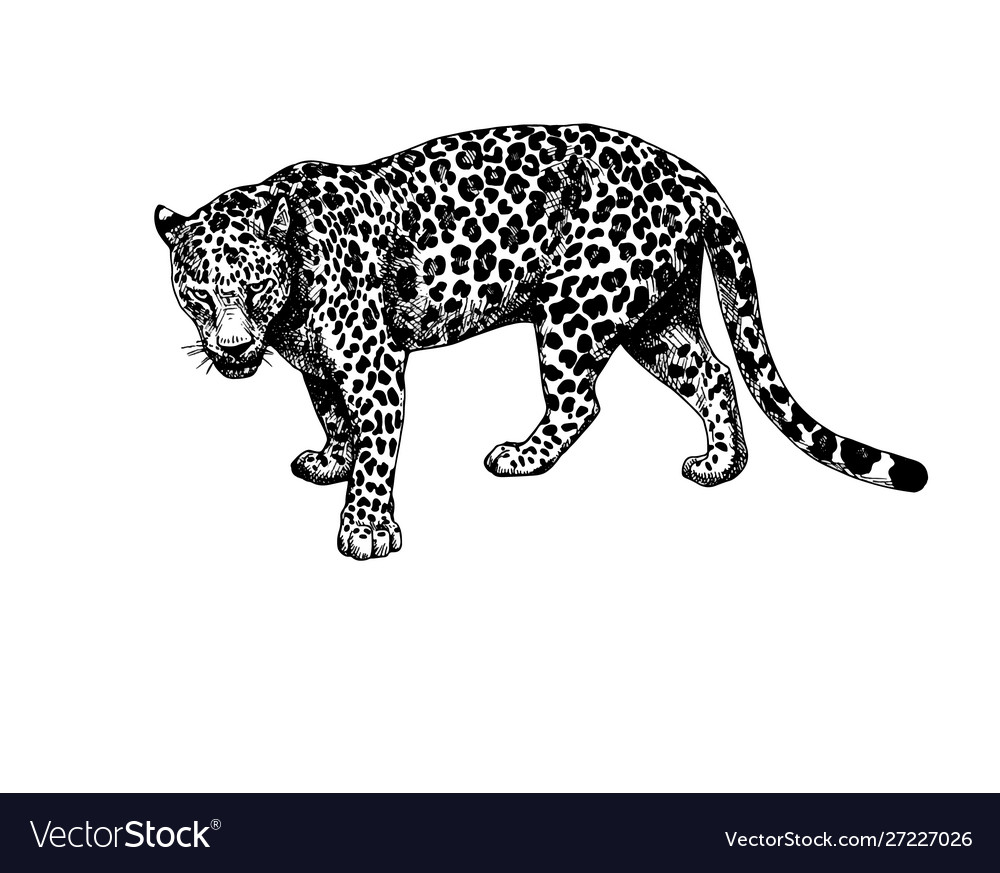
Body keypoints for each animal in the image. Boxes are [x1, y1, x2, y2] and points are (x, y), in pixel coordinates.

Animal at [155, 124, 927, 561]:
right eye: (198, 293)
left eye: (254, 287)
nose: (232, 348)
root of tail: (694, 178)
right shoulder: (320, 366)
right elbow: (332, 415)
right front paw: (329, 460)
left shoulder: (374, 362)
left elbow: (377, 445)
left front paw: (368, 529)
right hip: (656, 317)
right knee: (711, 371)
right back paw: (718, 464)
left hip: (575, 310)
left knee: (580, 402)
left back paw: (521, 456)